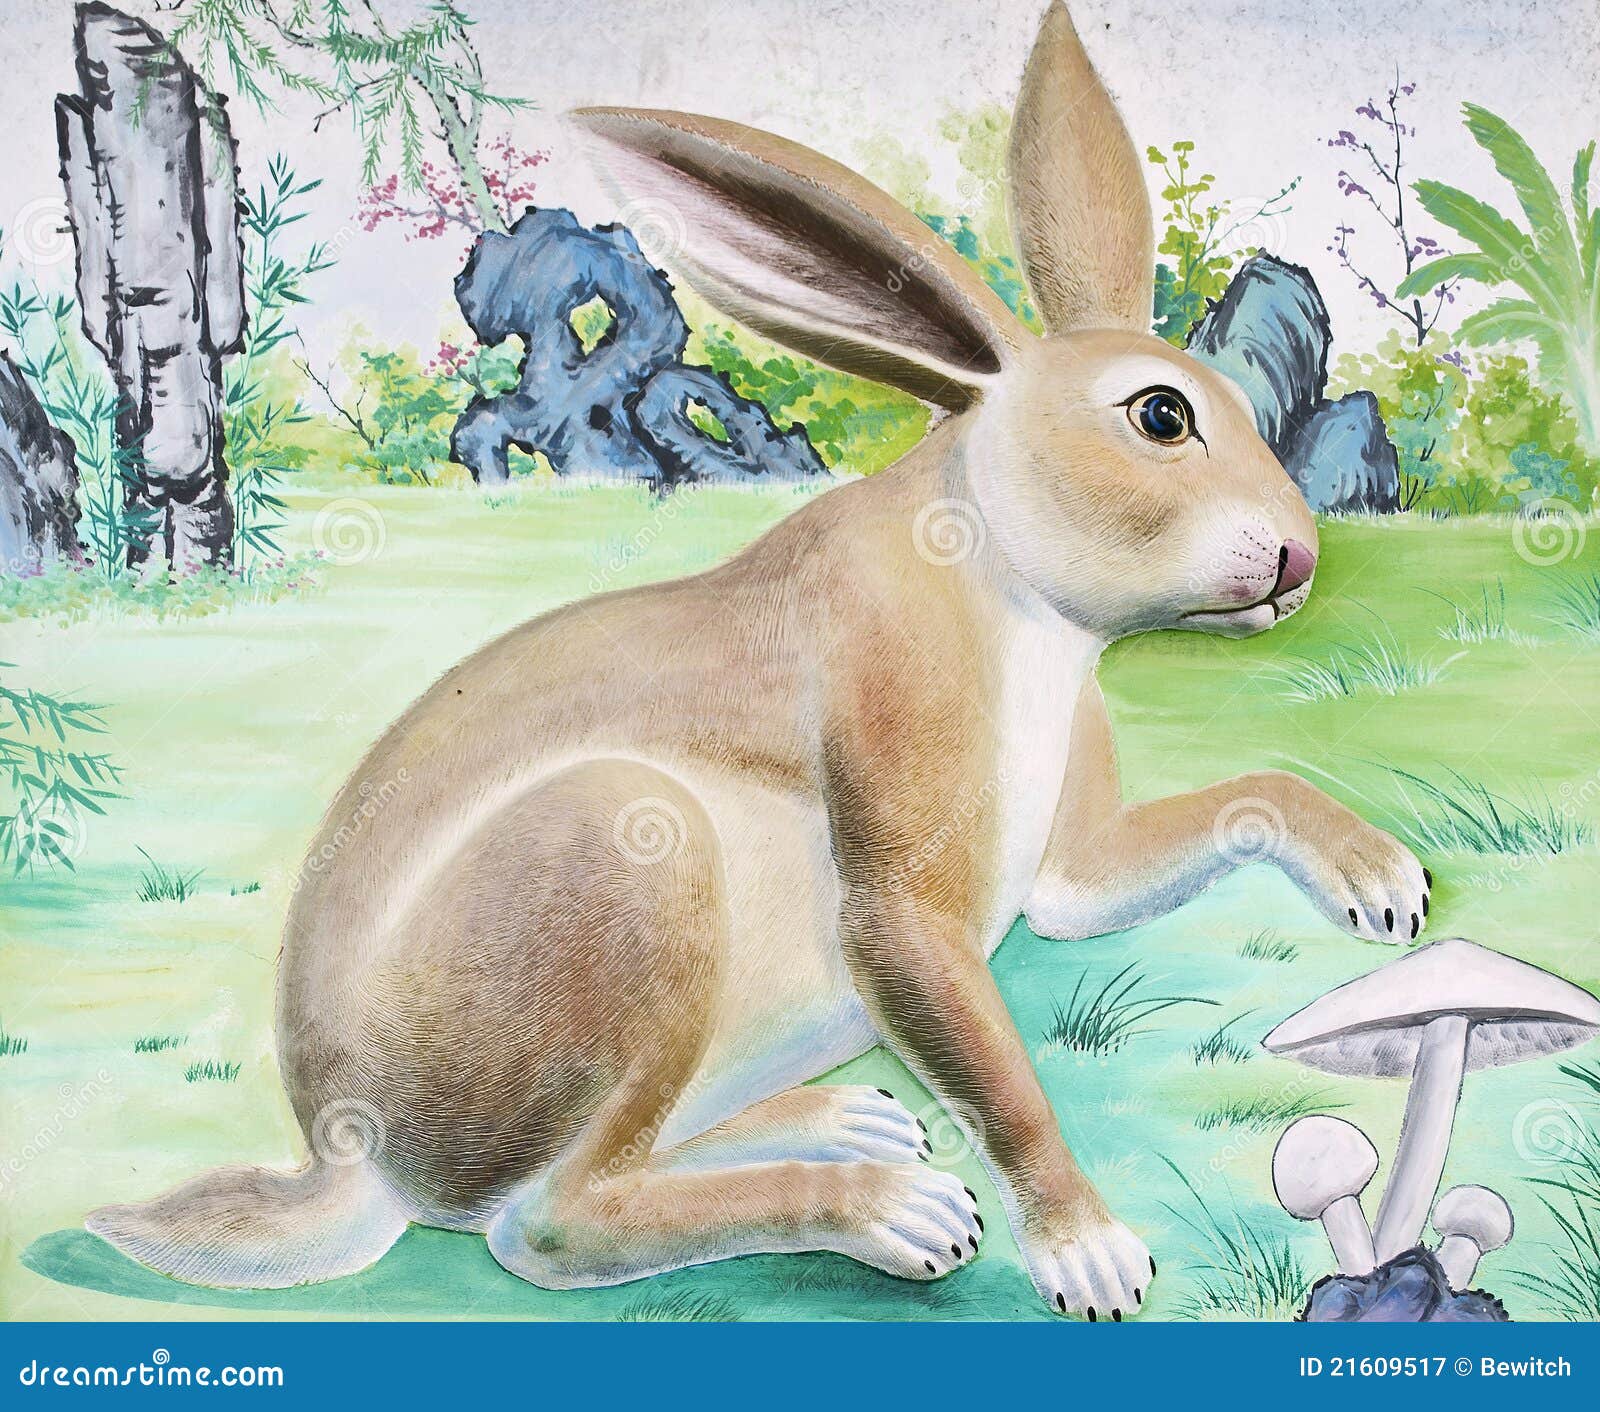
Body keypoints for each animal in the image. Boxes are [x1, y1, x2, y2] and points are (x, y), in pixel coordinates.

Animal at [85, 1, 1429, 1320]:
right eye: (1160, 416)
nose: (1299, 557)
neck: (999, 562)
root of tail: (355, 1158)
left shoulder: (1068, 872)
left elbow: (1228, 809)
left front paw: (1387, 885)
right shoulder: (901, 884)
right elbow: (993, 1069)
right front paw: (1090, 1258)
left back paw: (851, 1123)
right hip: (630, 861)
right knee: (548, 1223)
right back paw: (889, 1211)